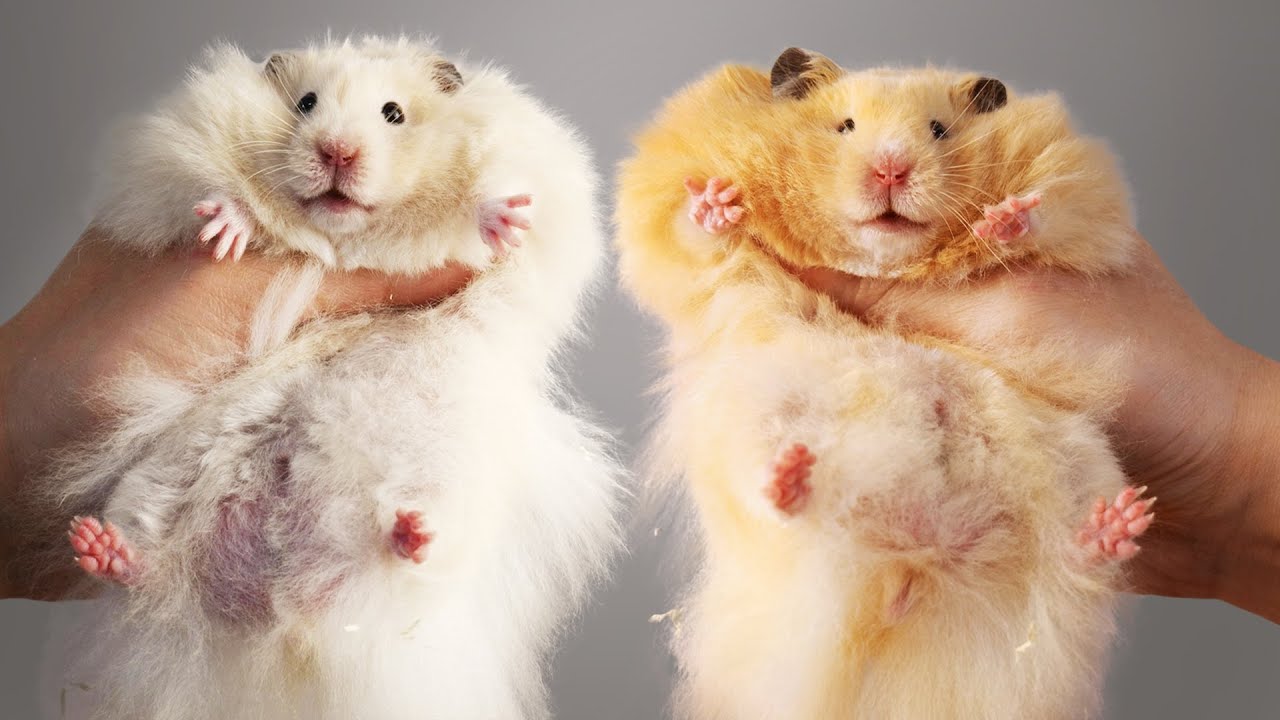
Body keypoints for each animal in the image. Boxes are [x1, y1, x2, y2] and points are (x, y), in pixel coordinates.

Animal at [37, 37, 622, 720]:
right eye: (306, 103)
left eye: (394, 113)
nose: (337, 152)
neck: (348, 238)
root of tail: (278, 615)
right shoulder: (162, 167)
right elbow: (215, 192)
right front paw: (225, 229)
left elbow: (477, 211)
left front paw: (504, 220)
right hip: (163, 476)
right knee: (146, 570)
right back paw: (101, 546)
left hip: (449, 484)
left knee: (408, 558)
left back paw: (411, 530)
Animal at [616, 48, 1148, 719]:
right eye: (843, 127)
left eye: (940, 130)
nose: (891, 170)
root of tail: (909, 565)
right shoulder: (672, 217)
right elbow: (694, 231)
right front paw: (719, 204)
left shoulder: (1085, 197)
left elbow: (1051, 216)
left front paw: (1002, 219)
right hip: (757, 417)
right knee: (789, 511)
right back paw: (790, 477)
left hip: (1080, 457)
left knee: (1074, 555)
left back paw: (1118, 523)